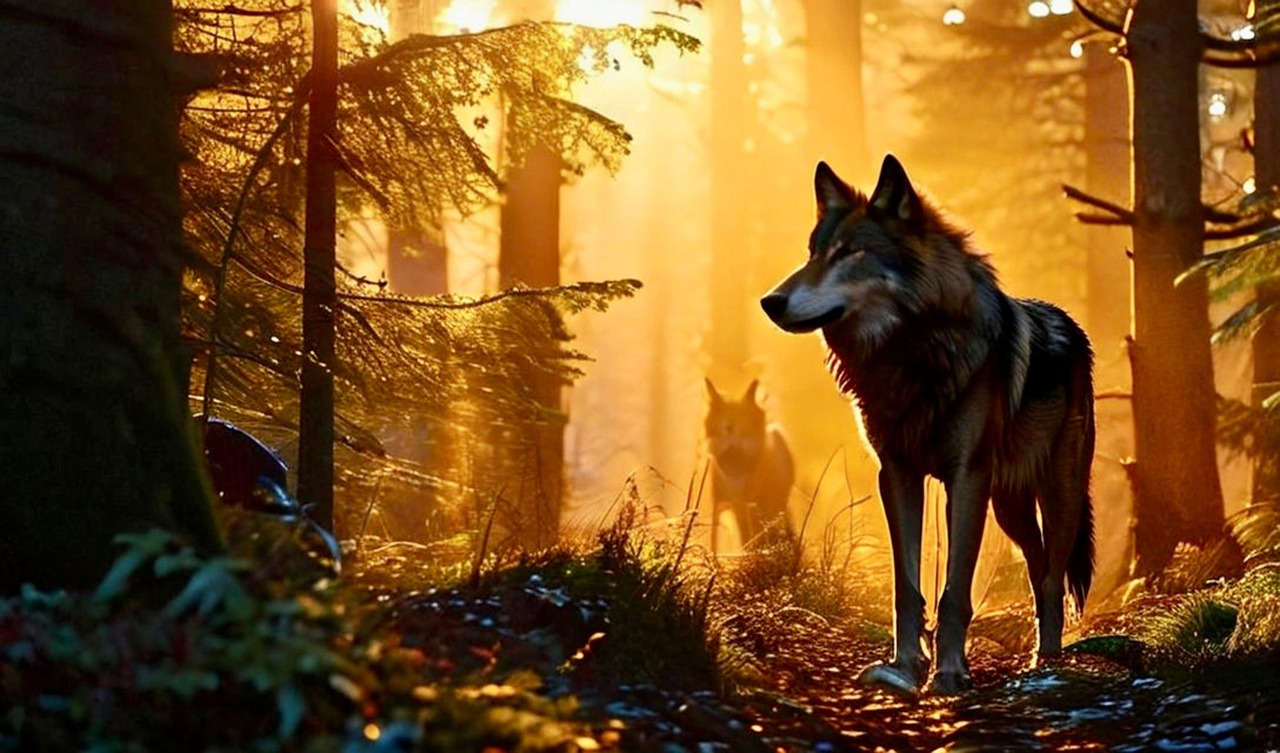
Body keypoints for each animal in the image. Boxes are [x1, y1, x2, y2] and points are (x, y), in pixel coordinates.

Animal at [704, 379, 795, 554]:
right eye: (727, 428)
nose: (733, 451)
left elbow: (752, 537)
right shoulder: (728, 504)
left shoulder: (751, 505)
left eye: (745, 429)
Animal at [760, 155, 1095, 695]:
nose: (770, 301)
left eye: (850, 254)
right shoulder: (898, 474)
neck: (910, 356)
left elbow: (954, 590)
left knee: (1051, 578)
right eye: (812, 254)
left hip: (1058, 494)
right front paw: (905, 666)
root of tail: (1071, 323)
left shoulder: (966, 478)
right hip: (1009, 507)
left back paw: (1046, 664)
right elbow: (906, 586)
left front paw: (951, 671)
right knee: (1039, 565)